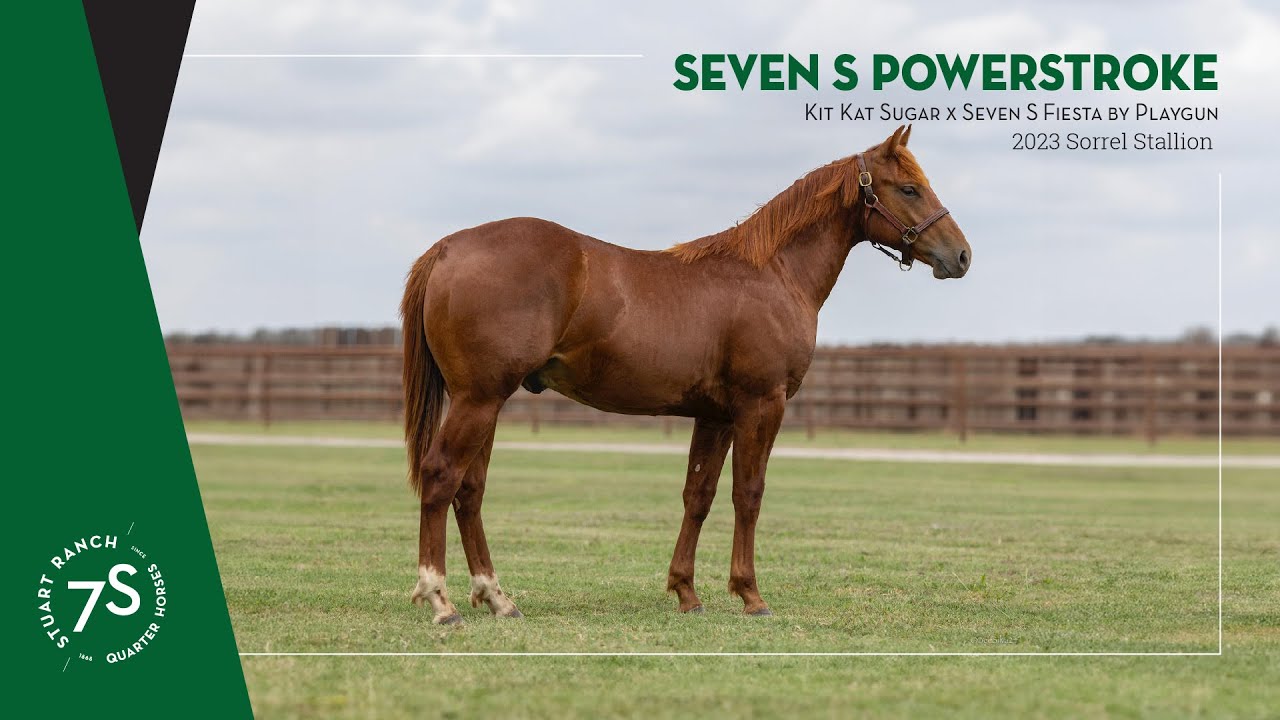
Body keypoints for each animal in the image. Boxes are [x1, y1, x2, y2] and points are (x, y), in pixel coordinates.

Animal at [400, 125, 971, 624]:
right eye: (909, 188)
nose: (961, 255)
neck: (773, 272)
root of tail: (448, 248)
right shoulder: (761, 405)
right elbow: (748, 493)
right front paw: (750, 594)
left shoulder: (715, 416)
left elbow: (699, 496)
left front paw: (686, 592)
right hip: (478, 400)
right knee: (441, 476)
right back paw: (440, 601)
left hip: (486, 402)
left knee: (470, 490)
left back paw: (498, 599)